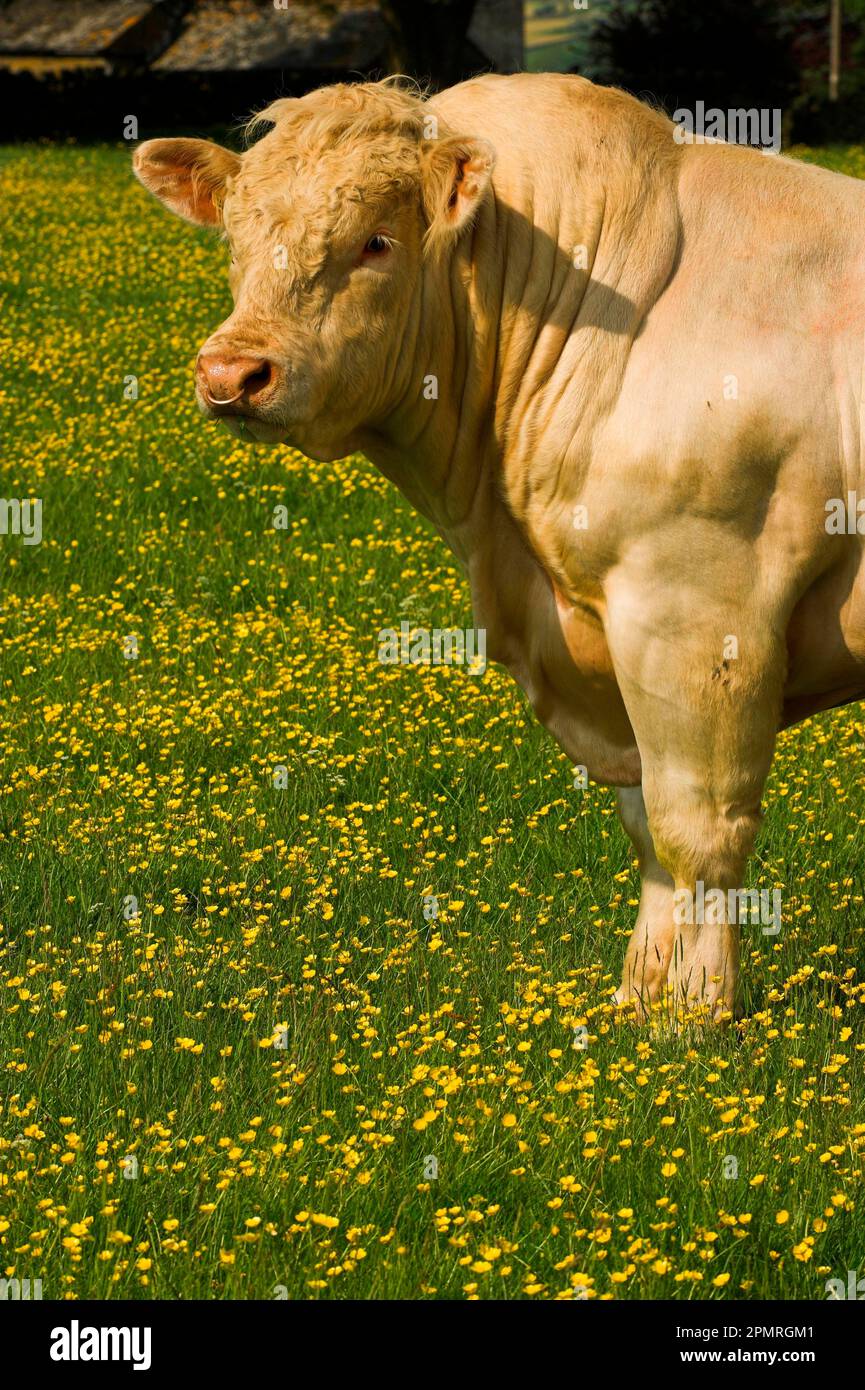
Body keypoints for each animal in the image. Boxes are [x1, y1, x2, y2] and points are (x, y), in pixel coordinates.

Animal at [132, 72, 865, 1023]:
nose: (231, 374)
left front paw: (696, 1014)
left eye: (376, 242)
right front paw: (639, 1002)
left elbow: (695, 831)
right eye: (237, 237)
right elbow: (644, 831)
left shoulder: (700, 613)